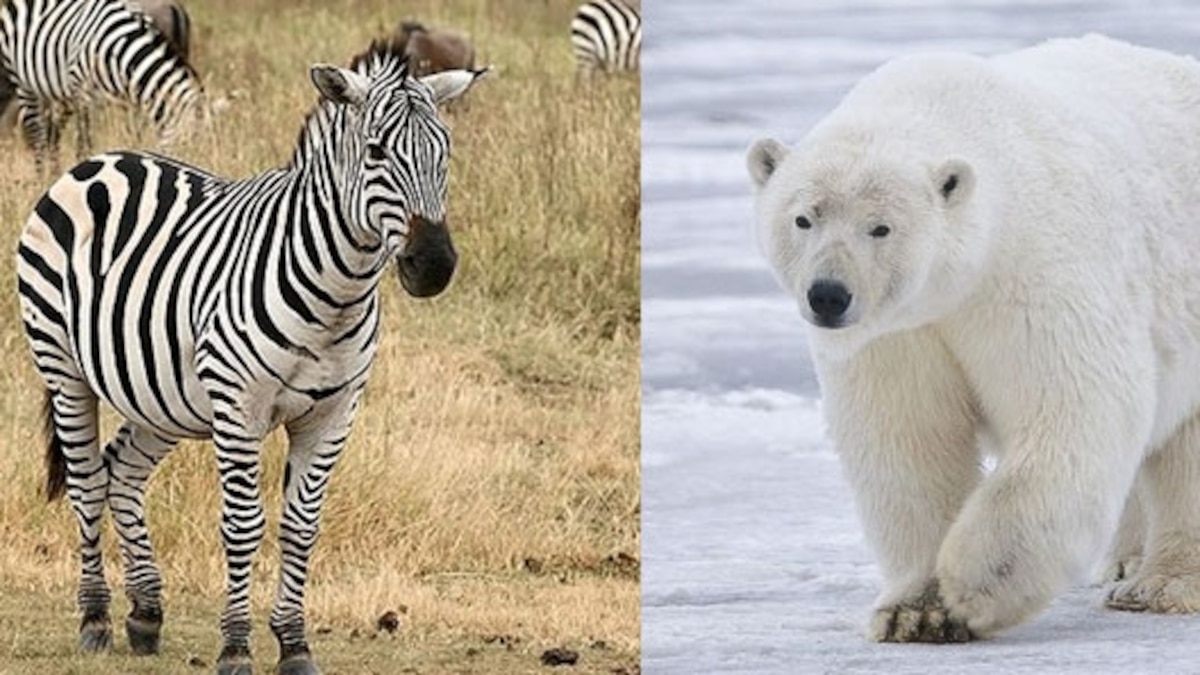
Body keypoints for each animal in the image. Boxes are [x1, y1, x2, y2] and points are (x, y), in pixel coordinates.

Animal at [0, 0, 204, 173]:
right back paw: (42, 175)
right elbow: (84, 143)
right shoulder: (83, 92)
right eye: (186, 146)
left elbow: (134, 133)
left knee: (51, 133)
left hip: (61, 93)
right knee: (37, 133)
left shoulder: (130, 96)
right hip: (25, 83)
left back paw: (52, 173)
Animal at [17, 38, 487, 675]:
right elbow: (242, 526)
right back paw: (94, 618)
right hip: (64, 366)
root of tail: (98, 160)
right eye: (376, 151)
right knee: (88, 480)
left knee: (123, 471)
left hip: (161, 395)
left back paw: (146, 613)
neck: (336, 295)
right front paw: (236, 648)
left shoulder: (333, 414)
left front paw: (294, 644)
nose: (434, 265)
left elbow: (301, 527)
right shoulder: (240, 408)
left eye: (445, 153)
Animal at [746, 34, 1200, 643]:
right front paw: (915, 611)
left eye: (880, 227)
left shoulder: (1033, 274)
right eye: (803, 218)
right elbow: (909, 439)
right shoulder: (898, 333)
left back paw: (1159, 586)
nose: (828, 295)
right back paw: (1126, 562)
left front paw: (975, 586)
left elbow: (1071, 408)